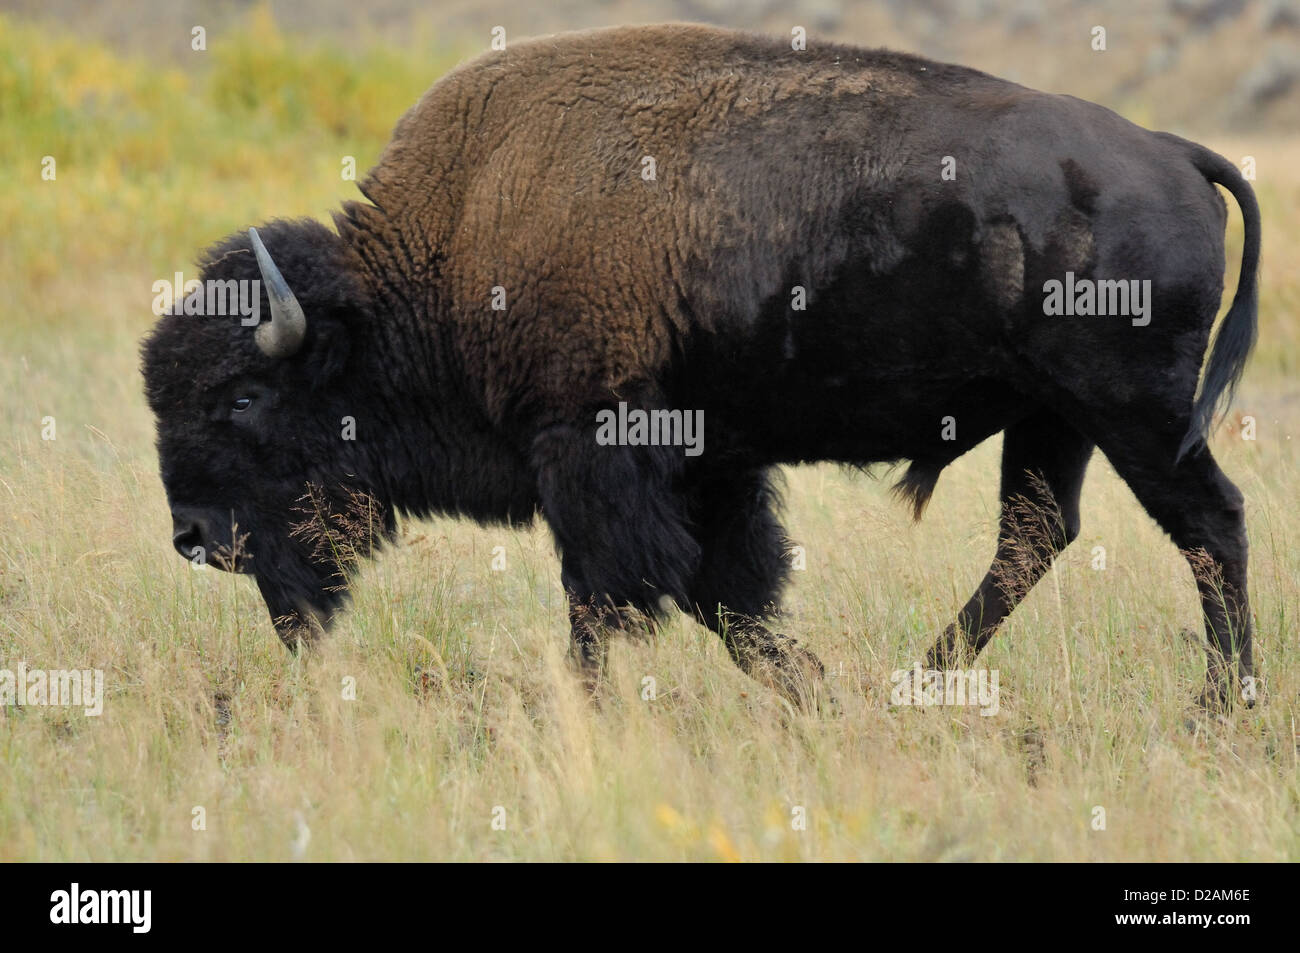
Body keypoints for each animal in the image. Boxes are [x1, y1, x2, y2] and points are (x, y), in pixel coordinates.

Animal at [143, 24, 1260, 710]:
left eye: (242, 395)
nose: (192, 536)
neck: (451, 244)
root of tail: (1171, 151)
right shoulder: (706, 465)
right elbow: (732, 598)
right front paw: (820, 697)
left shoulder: (594, 453)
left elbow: (609, 599)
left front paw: (585, 710)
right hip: (1053, 414)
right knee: (1035, 534)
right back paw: (916, 683)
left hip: (1133, 410)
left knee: (1209, 525)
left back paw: (1218, 709)